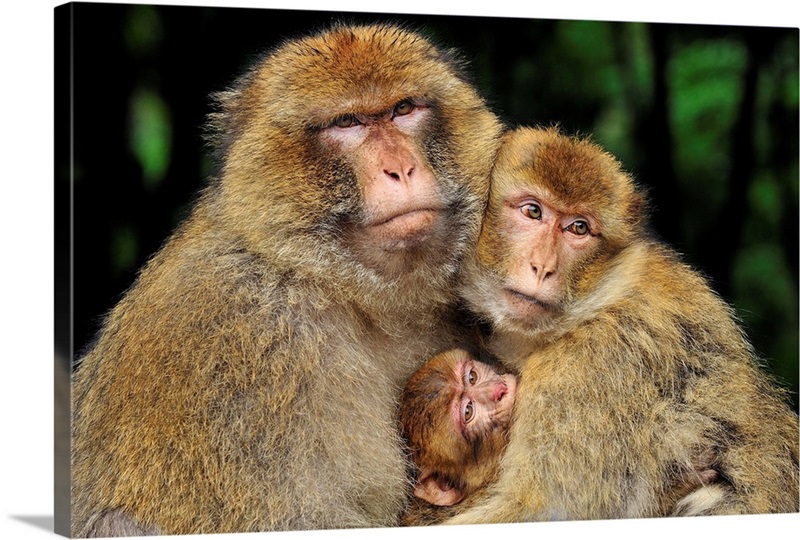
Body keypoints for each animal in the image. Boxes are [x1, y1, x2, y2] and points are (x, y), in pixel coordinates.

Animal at [441, 126, 799, 524]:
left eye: (579, 228)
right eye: (533, 211)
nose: (542, 267)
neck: (600, 298)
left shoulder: (591, 367)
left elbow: (542, 510)